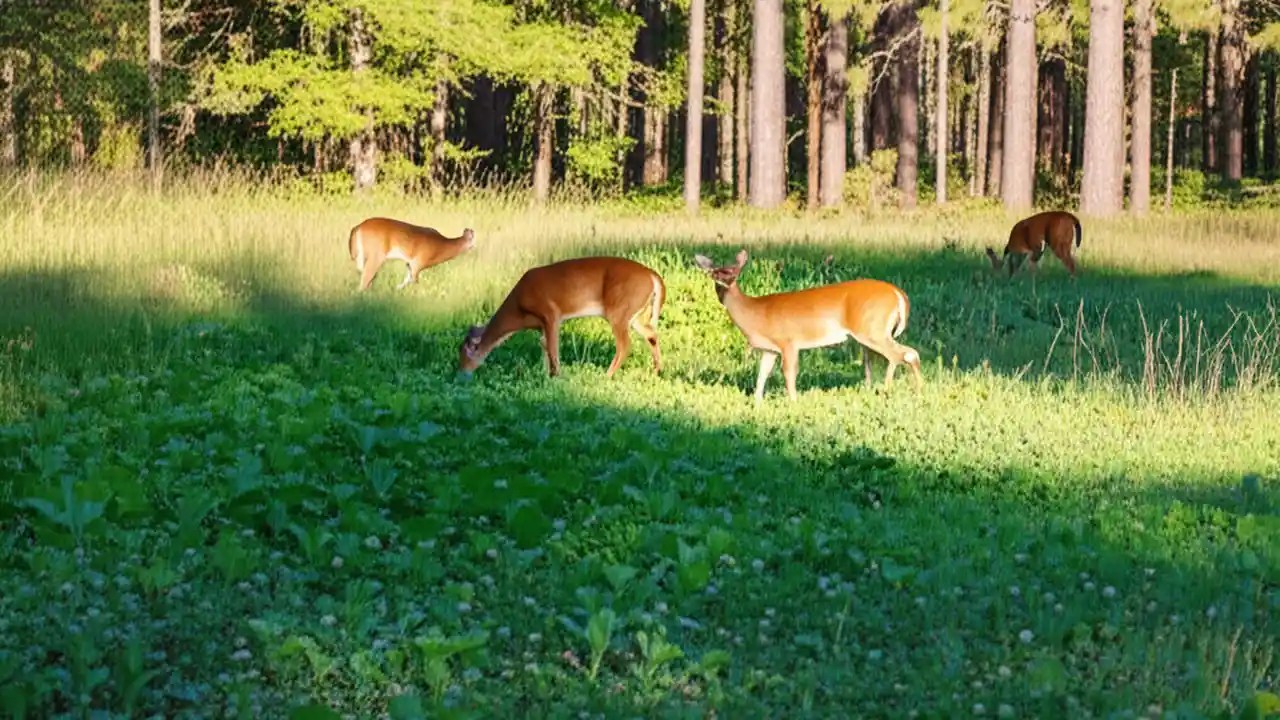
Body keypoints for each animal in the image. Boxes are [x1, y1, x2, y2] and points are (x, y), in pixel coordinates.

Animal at [348, 217, 476, 291]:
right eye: (474, 240)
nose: (475, 248)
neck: (440, 247)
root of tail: (358, 227)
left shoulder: (409, 264)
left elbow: (407, 280)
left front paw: (396, 289)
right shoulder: (418, 262)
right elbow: (415, 282)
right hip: (376, 255)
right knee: (365, 279)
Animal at [458, 257, 665, 379]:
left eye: (464, 354)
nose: (461, 373)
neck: (519, 310)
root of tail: (653, 276)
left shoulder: (551, 313)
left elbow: (553, 348)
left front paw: (557, 377)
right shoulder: (541, 324)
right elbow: (544, 346)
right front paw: (543, 375)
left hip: (619, 310)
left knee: (625, 344)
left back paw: (606, 375)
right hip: (636, 313)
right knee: (652, 334)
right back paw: (656, 371)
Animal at [694, 250, 923, 402]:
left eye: (733, 272)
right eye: (715, 273)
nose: (724, 283)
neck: (755, 313)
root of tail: (898, 294)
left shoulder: (788, 342)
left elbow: (789, 372)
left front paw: (793, 402)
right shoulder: (770, 349)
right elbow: (762, 375)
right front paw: (757, 402)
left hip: (872, 330)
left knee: (901, 354)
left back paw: (889, 391)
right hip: (874, 333)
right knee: (907, 354)